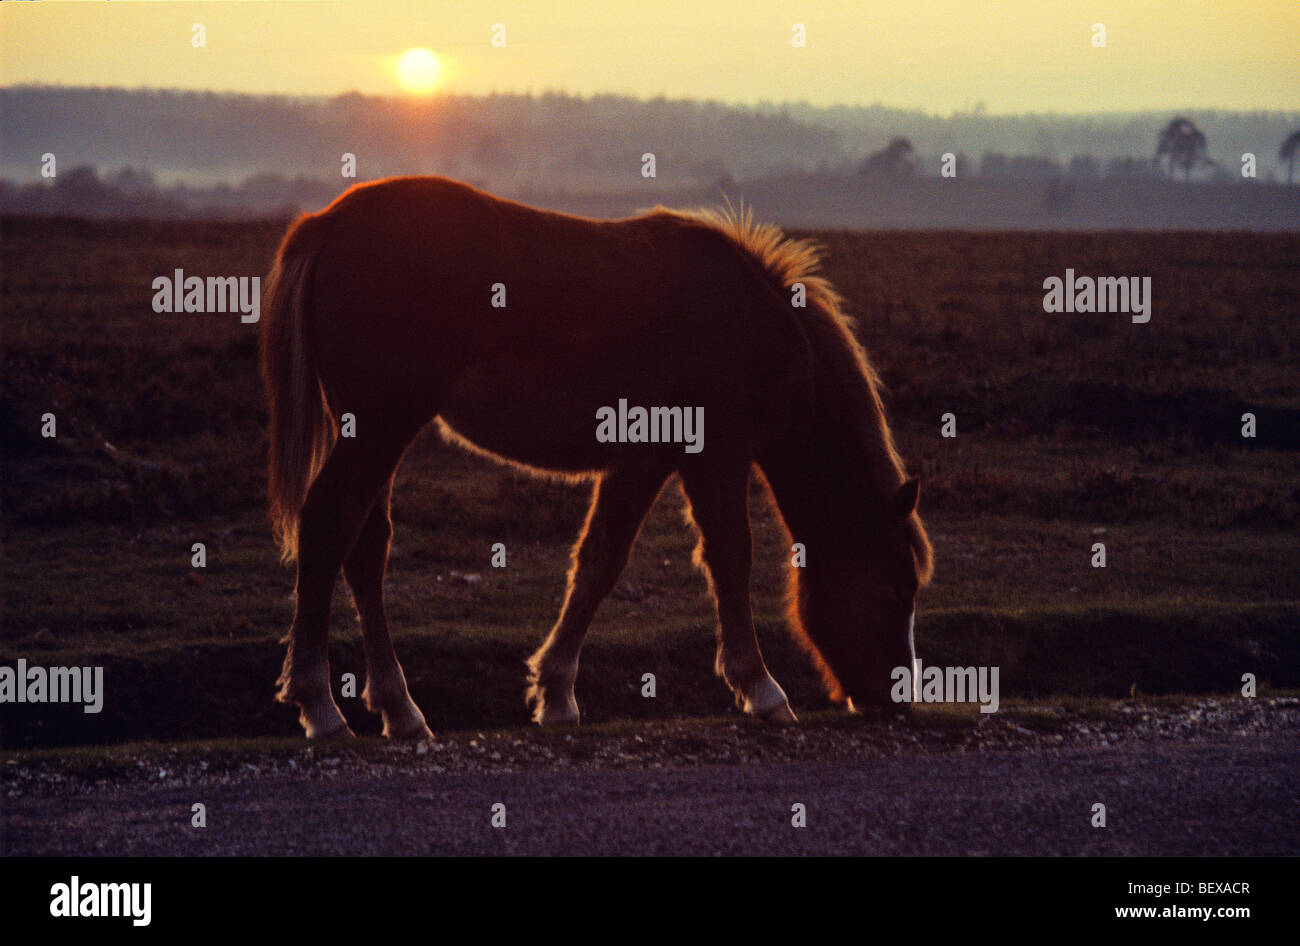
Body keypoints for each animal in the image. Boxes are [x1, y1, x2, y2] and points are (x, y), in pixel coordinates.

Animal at [261, 175, 933, 740]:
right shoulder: (714, 457)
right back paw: (320, 705)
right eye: (897, 588)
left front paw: (556, 693)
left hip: (375, 433)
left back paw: (398, 709)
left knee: (365, 547)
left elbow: (599, 563)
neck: (753, 322)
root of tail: (331, 221)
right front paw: (761, 688)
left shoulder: (643, 461)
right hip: (379, 428)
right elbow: (730, 558)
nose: (895, 701)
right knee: (328, 528)